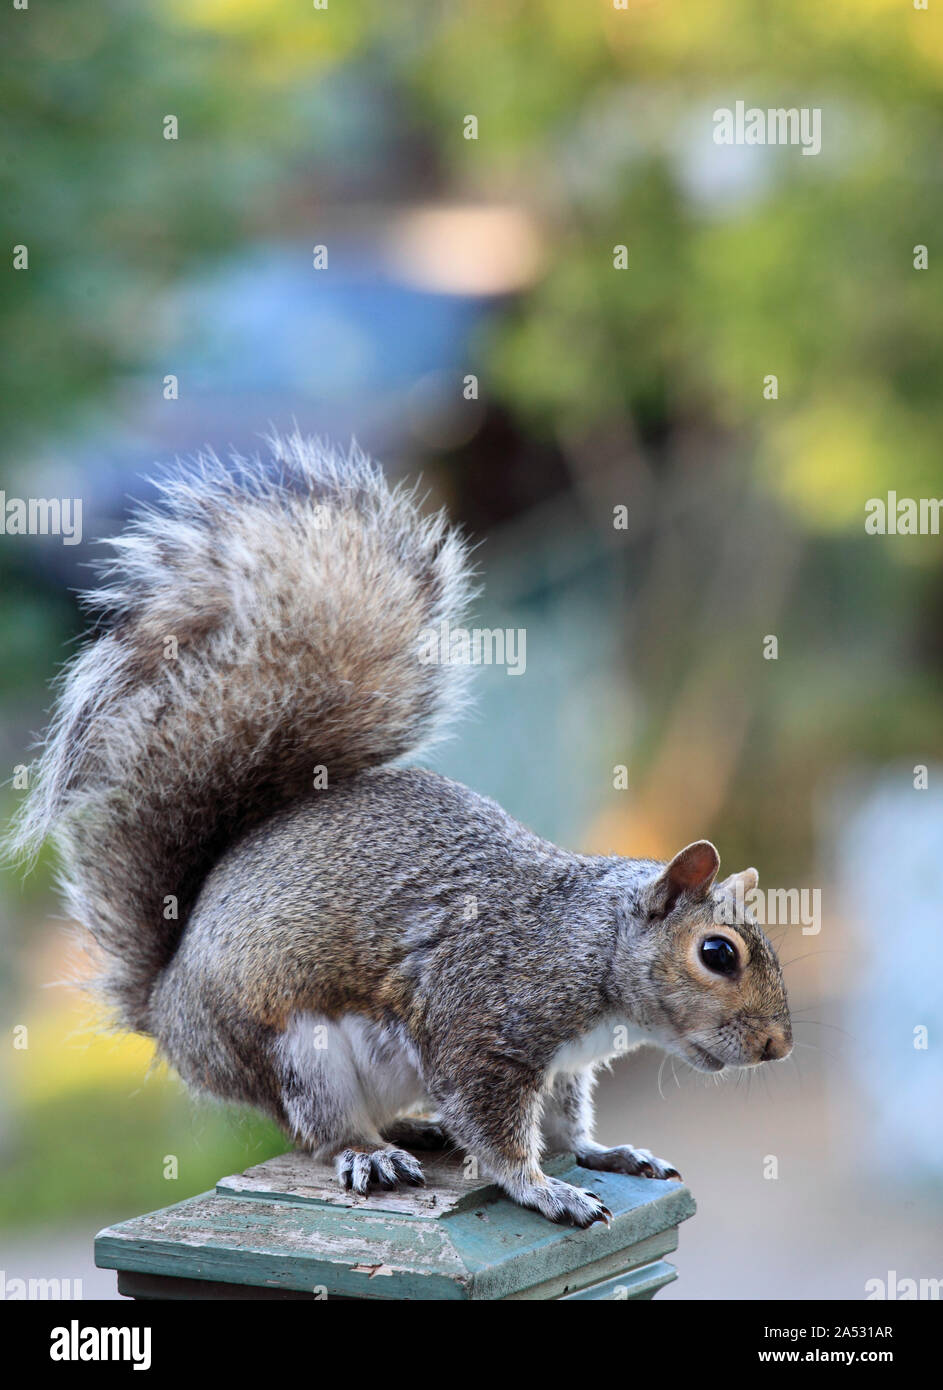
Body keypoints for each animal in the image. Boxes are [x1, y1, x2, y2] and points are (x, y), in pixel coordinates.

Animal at [9, 433, 792, 1229]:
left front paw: (603, 1154)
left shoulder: (564, 1065)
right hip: (295, 1050)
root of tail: (166, 1008)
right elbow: (498, 1133)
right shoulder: (480, 1024)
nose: (776, 1046)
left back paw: (414, 1129)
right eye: (717, 954)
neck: (586, 944)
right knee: (317, 1131)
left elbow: (567, 1125)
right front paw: (545, 1189)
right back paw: (370, 1152)